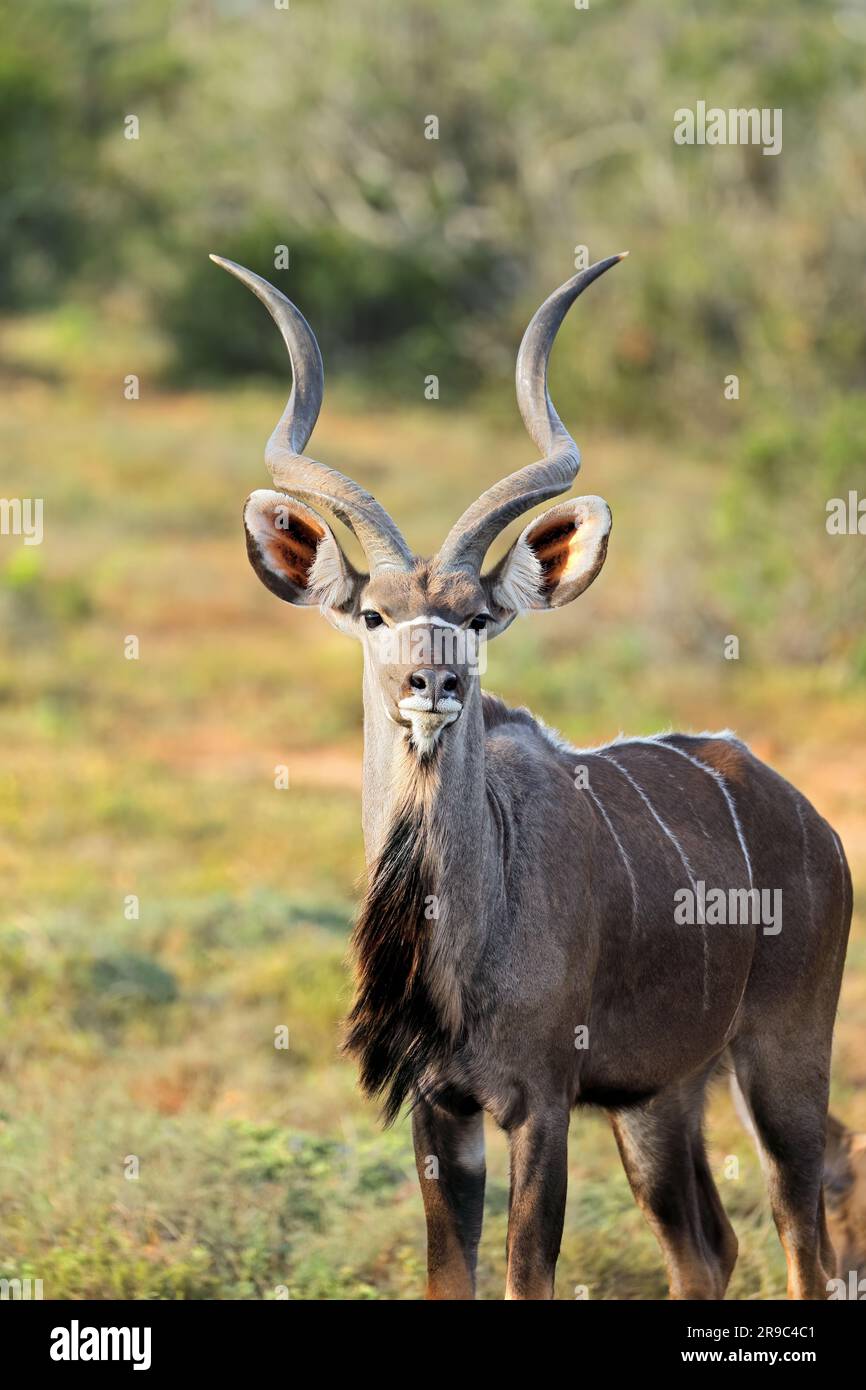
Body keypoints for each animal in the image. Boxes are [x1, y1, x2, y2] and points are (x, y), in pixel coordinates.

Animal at [212, 250, 854, 1301]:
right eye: (376, 615)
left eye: (475, 617)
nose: (434, 682)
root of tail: (810, 819)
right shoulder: (442, 1107)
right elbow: (452, 1276)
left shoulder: (541, 1103)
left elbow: (528, 1274)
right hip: (659, 1097)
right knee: (706, 1247)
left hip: (781, 1062)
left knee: (808, 1235)